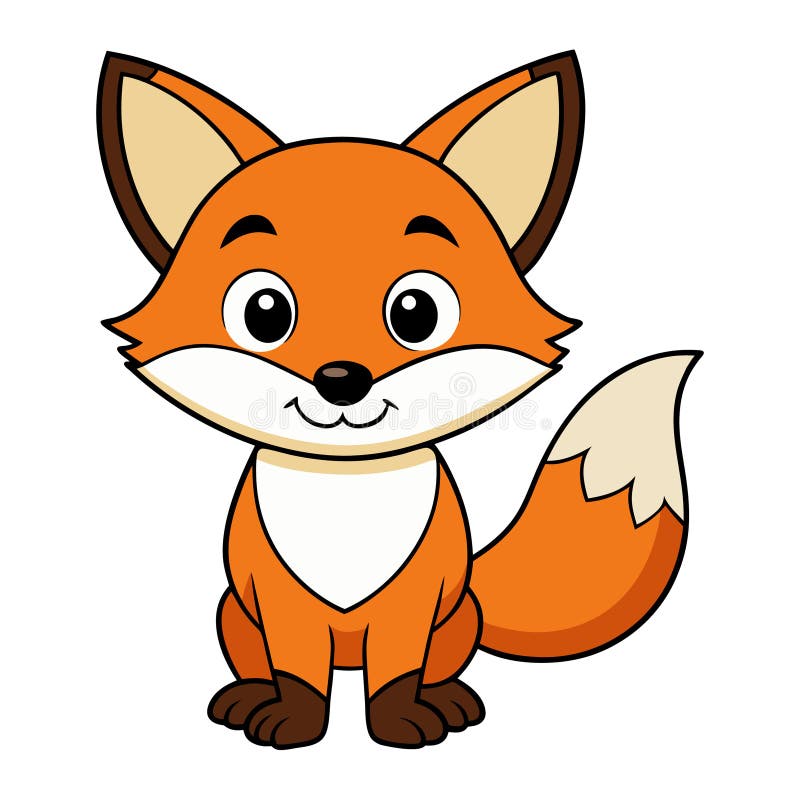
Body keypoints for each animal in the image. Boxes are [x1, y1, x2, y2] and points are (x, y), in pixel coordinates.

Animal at [98, 50, 700, 749]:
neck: (346, 490)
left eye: (416, 312)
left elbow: (397, 671)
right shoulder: (279, 603)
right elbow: (298, 671)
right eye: (264, 312)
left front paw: (400, 719)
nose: (341, 378)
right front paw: (294, 718)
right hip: (231, 611)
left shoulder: (415, 602)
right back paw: (248, 696)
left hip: (458, 616)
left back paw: (448, 698)